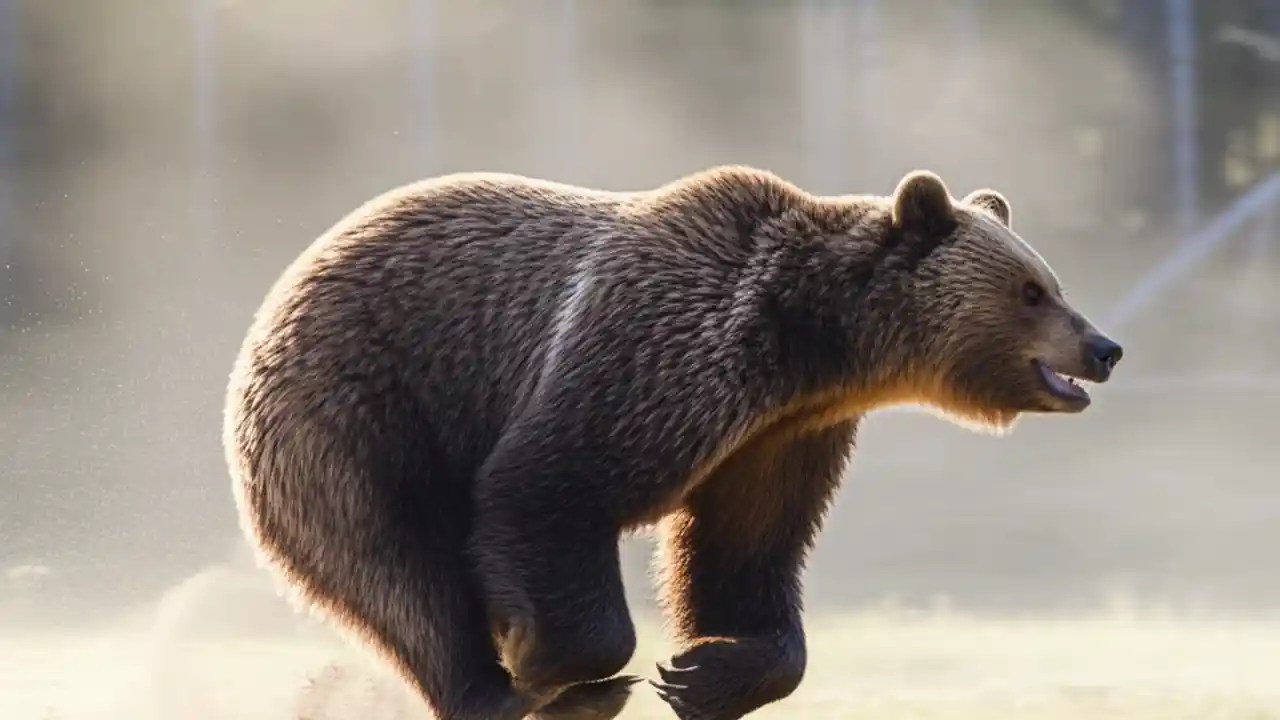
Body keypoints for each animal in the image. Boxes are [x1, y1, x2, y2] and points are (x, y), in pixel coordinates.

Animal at [223, 165, 1123, 720]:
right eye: (1031, 290)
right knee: (403, 571)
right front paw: (555, 660)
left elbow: (745, 552)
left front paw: (706, 673)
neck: (808, 344)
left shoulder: (779, 435)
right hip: (356, 421)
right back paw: (502, 689)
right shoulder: (658, 351)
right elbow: (549, 485)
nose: (1104, 347)